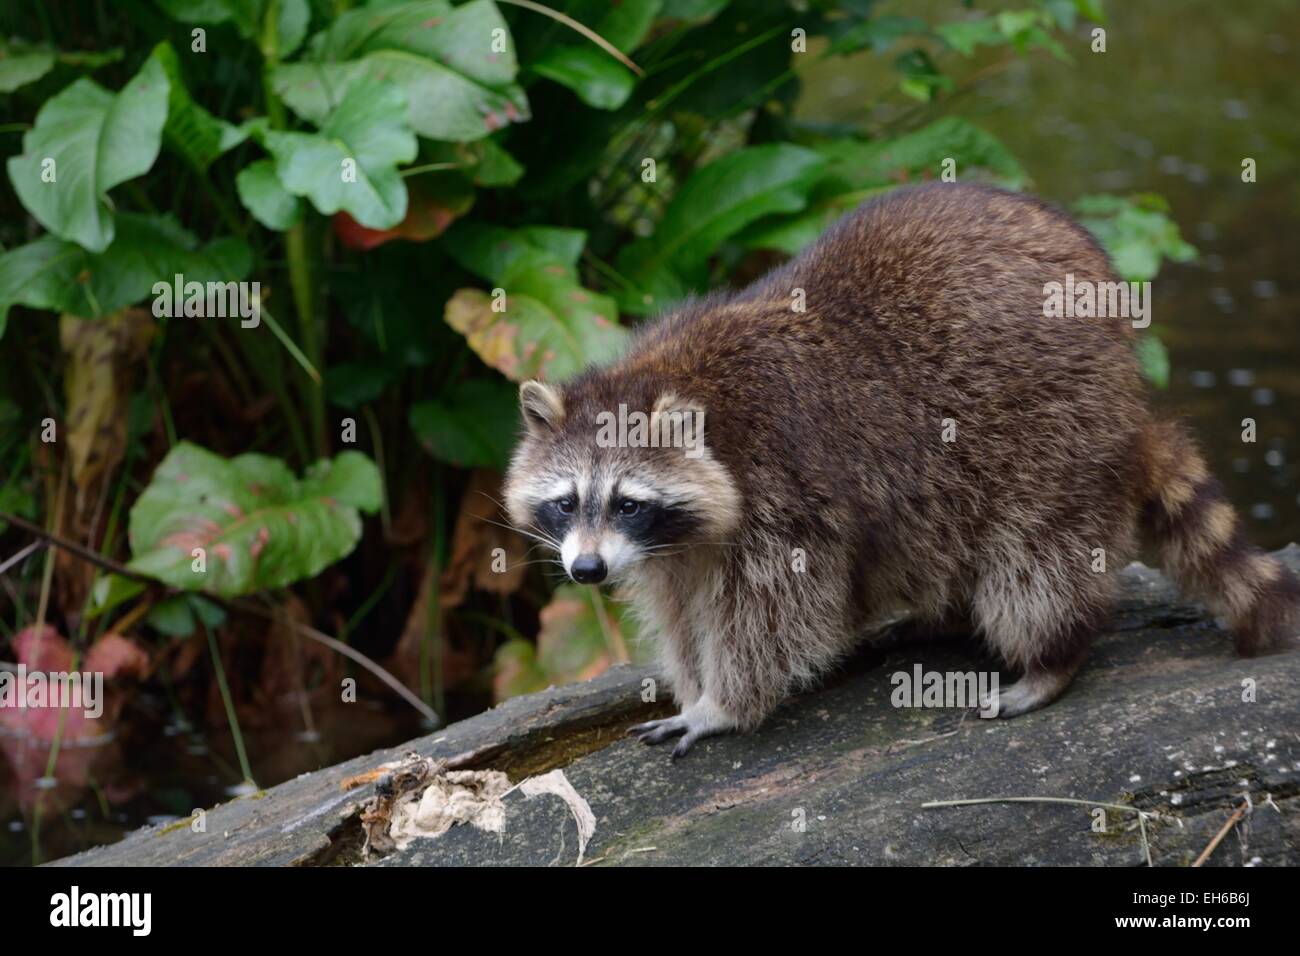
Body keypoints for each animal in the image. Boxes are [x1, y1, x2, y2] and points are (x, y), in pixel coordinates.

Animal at [503, 182, 1300, 758]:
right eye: (567, 503)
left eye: (627, 502)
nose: (585, 572)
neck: (667, 378)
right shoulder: (677, 543)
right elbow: (680, 605)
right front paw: (691, 679)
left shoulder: (780, 491)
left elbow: (771, 613)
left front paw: (722, 704)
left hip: (1051, 424)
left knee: (1036, 555)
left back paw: (1052, 657)